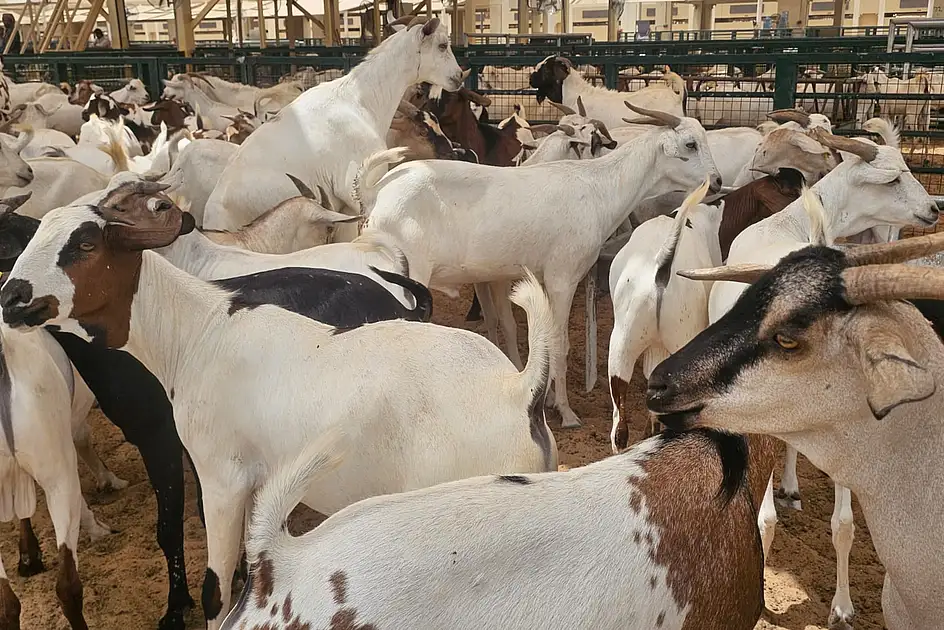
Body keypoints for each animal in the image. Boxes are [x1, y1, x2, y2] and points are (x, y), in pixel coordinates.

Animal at [2, 177, 558, 629]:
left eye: (85, 242)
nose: (12, 297)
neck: (198, 332)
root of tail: (518, 390)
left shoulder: (220, 477)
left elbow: (215, 590)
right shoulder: (254, 480)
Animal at [360, 106, 721, 428]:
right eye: (690, 144)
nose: (717, 181)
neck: (597, 188)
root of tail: (376, 192)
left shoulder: (544, 279)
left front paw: (546, 399)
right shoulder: (564, 276)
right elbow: (559, 342)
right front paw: (566, 412)